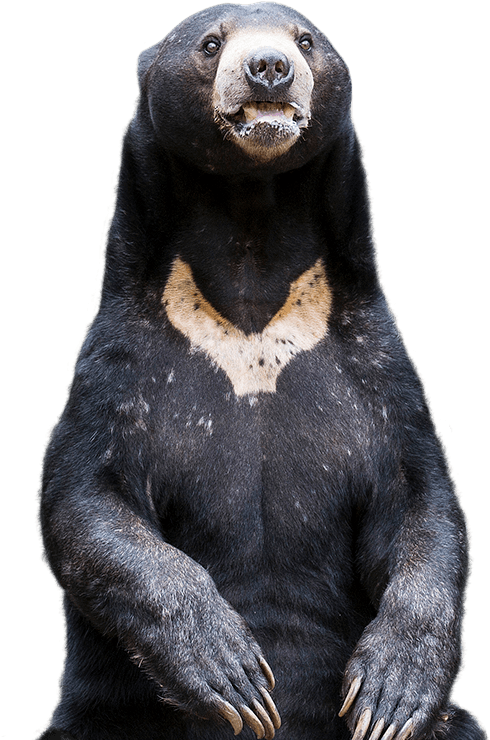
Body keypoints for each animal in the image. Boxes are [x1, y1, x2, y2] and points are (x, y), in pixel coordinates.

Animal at [35, 3, 487, 740]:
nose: (268, 66)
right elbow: (85, 501)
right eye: (210, 42)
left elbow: (421, 500)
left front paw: (392, 692)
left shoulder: (374, 360)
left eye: (306, 39)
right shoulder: (123, 359)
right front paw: (232, 671)